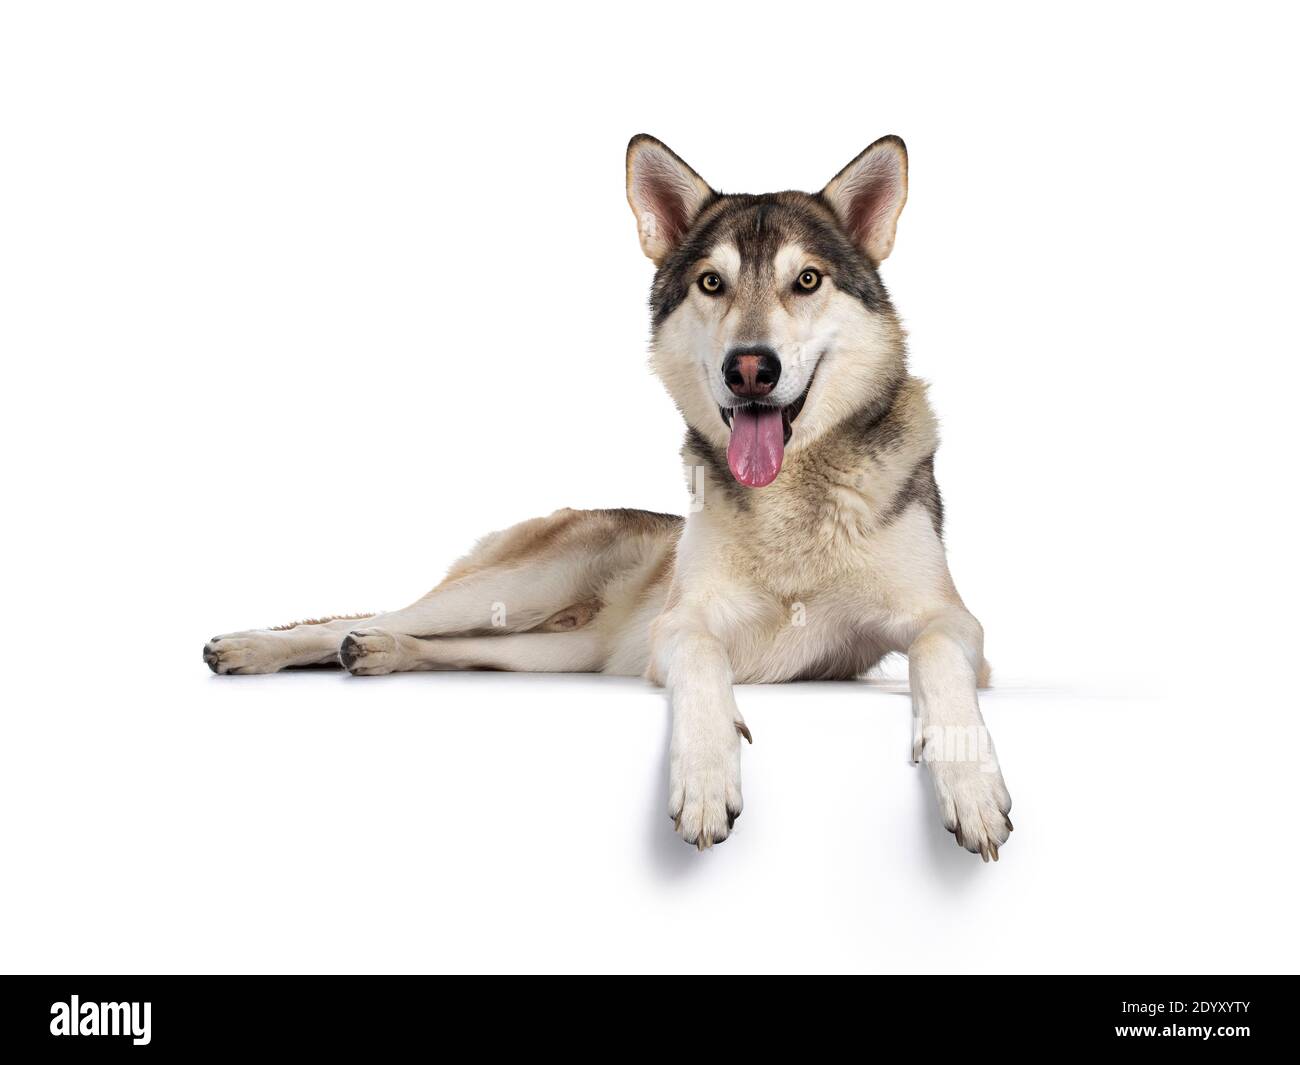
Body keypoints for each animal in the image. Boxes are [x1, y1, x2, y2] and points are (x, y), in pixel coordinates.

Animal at [204, 134, 1013, 859]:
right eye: (711, 283)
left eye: (807, 280)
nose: (750, 368)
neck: (793, 500)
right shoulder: (680, 625)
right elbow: (703, 663)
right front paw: (707, 777)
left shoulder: (952, 622)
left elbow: (936, 656)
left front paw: (970, 784)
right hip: (516, 589)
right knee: (358, 614)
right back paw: (255, 645)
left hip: (550, 649)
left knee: (435, 644)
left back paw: (375, 654)